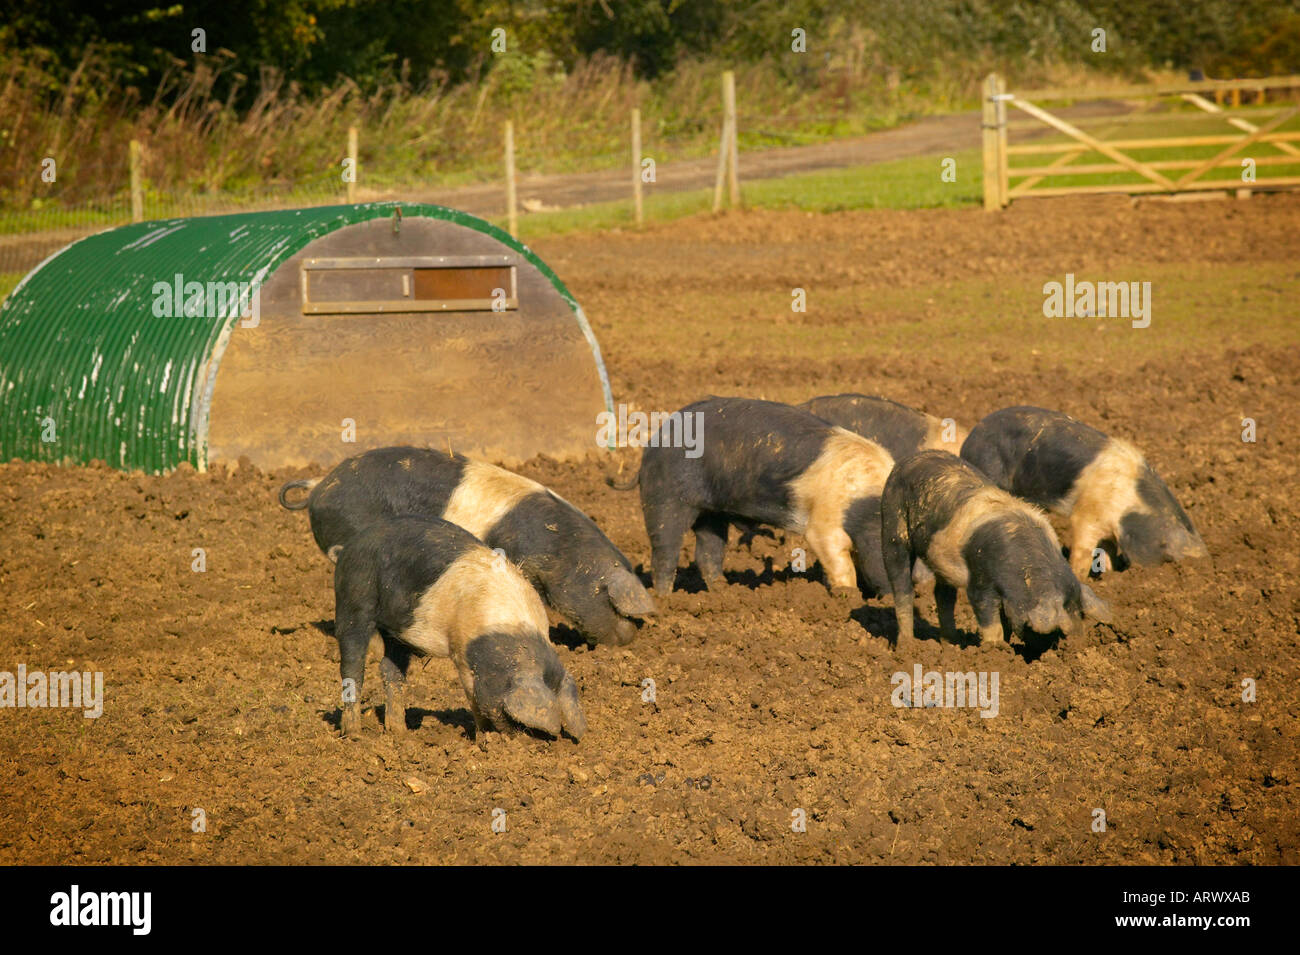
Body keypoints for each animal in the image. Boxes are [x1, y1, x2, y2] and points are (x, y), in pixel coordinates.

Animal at [332, 516, 586, 741]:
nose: (526, 741)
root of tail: (350, 545)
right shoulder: (462, 655)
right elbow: (474, 699)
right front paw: (484, 740)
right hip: (354, 598)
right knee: (352, 665)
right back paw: (354, 734)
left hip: (396, 633)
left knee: (391, 671)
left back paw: (400, 733)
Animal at [616, 396, 894, 596]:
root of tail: (650, 447)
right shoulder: (824, 524)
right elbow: (839, 561)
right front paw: (848, 596)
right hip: (665, 498)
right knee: (665, 550)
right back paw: (665, 599)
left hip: (712, 513)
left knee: (708, 552)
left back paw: (723, 592)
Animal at [881, 450, 1111, 648]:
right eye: (1052, 633)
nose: (1073, 644)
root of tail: (911, 458)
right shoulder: (980, 579)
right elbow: (989, 617)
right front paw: (994, 648)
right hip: (893, 526)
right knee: (902, 587)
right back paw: (906, 645)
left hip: (941, 561)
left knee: (944, 595)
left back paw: (952, 644)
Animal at [959, 406, 1208, 578]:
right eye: (1169, 559)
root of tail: (969, 440)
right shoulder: (1086, 515)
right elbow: (1082, 551)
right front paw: (1081, 577)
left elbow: (1107, 551)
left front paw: (1109, 576)